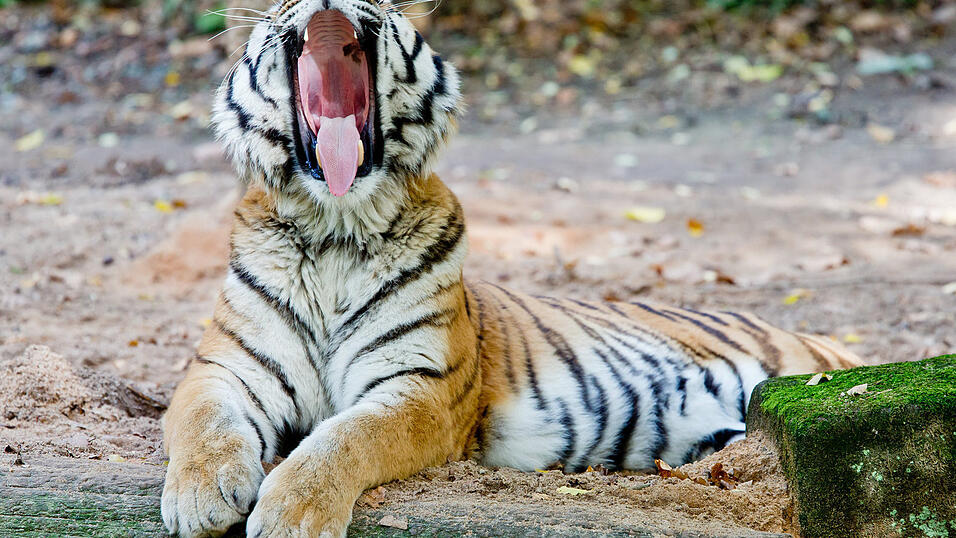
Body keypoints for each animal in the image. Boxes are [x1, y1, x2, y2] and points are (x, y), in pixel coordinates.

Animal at [160, 1, 864, 536]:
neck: (336, 227)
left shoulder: (419, 390)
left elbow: (342, 440)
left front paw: (291, 513)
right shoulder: (224, 366)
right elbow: (202, 422)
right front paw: (200, 498)